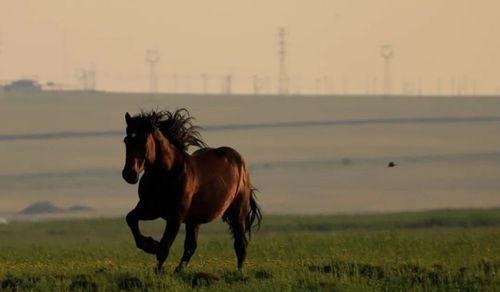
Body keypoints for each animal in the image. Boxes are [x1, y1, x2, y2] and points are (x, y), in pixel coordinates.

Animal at [122, 108, 262, 274]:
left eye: (144, 140)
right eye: (126, 140)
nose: (129, 174)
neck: (165, 174)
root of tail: (239, 159)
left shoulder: (175, 216)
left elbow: (164, 247)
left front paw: (157, 268)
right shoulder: (149, 209)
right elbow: (130, 218)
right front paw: (149, 245)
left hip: (238, 211)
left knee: (240, 244)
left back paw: (239, 274)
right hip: (194, 219)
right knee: (191, 246)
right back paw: (179, 271)